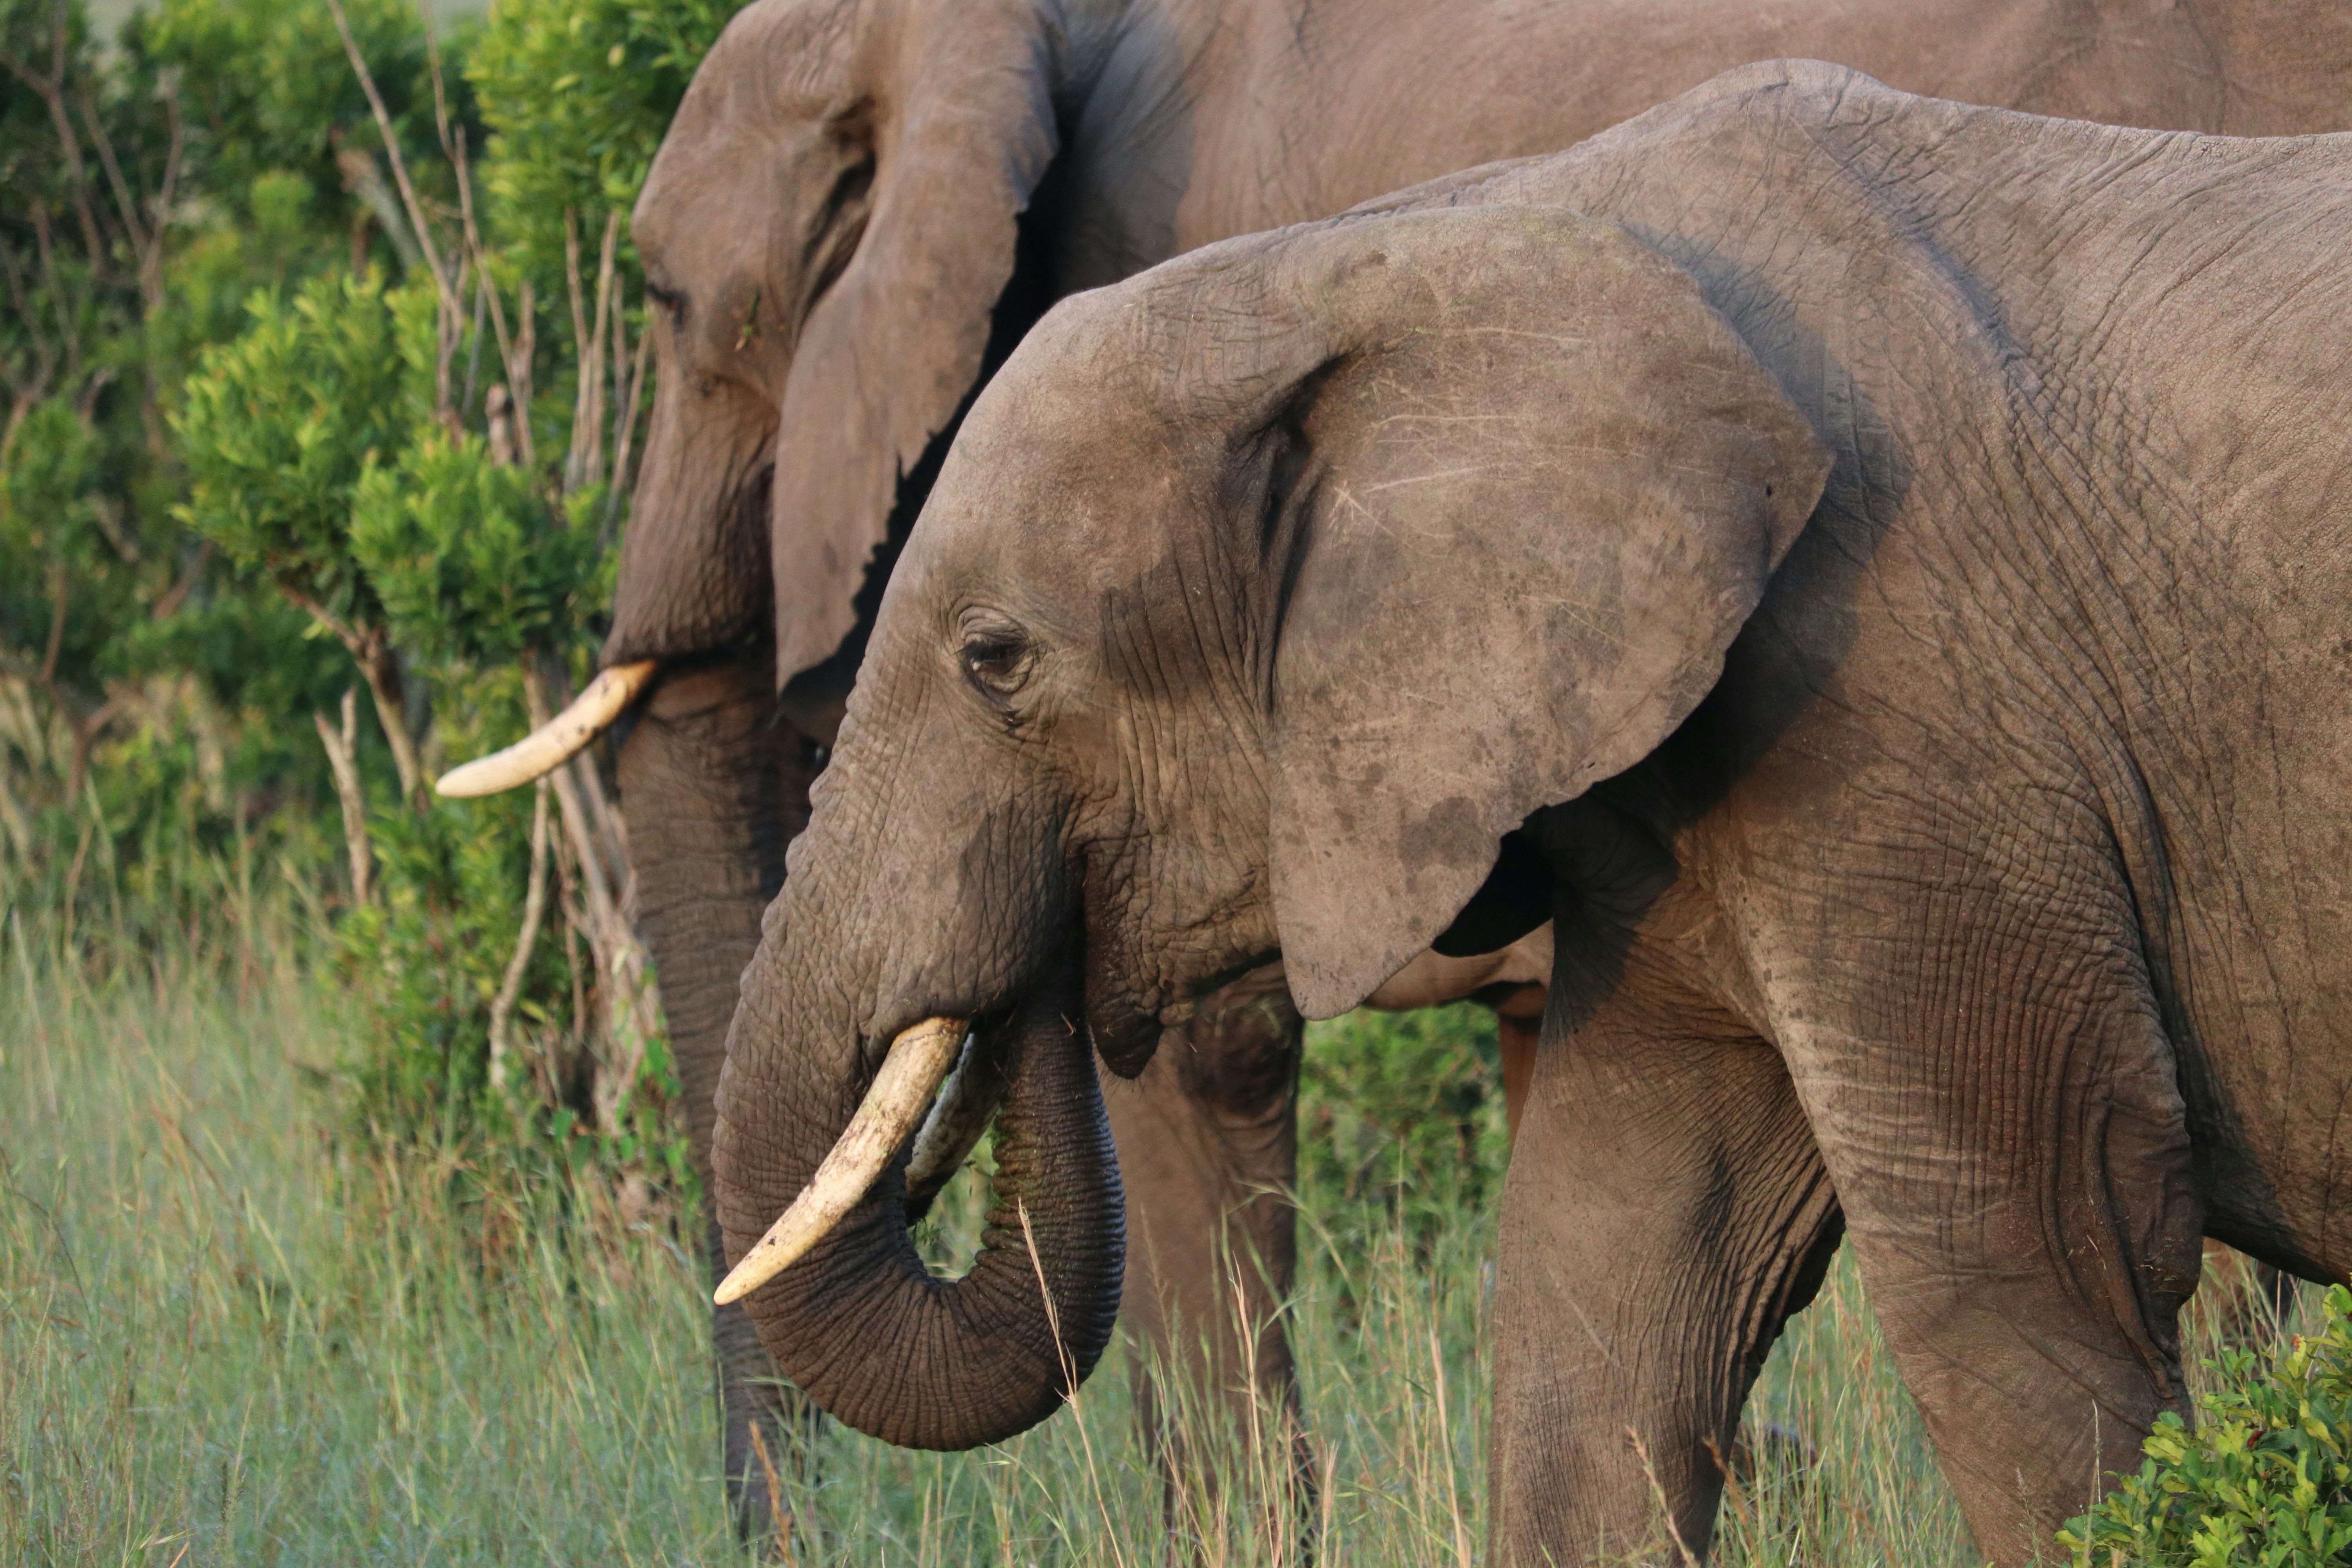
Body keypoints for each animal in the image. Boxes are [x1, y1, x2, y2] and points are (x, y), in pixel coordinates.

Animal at [435, 0, 2352, 1538]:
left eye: (999, 662)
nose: (1014, 980)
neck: (1434, 254)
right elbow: (1609, 1286)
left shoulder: (1895, 707)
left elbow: (2023, 1279)